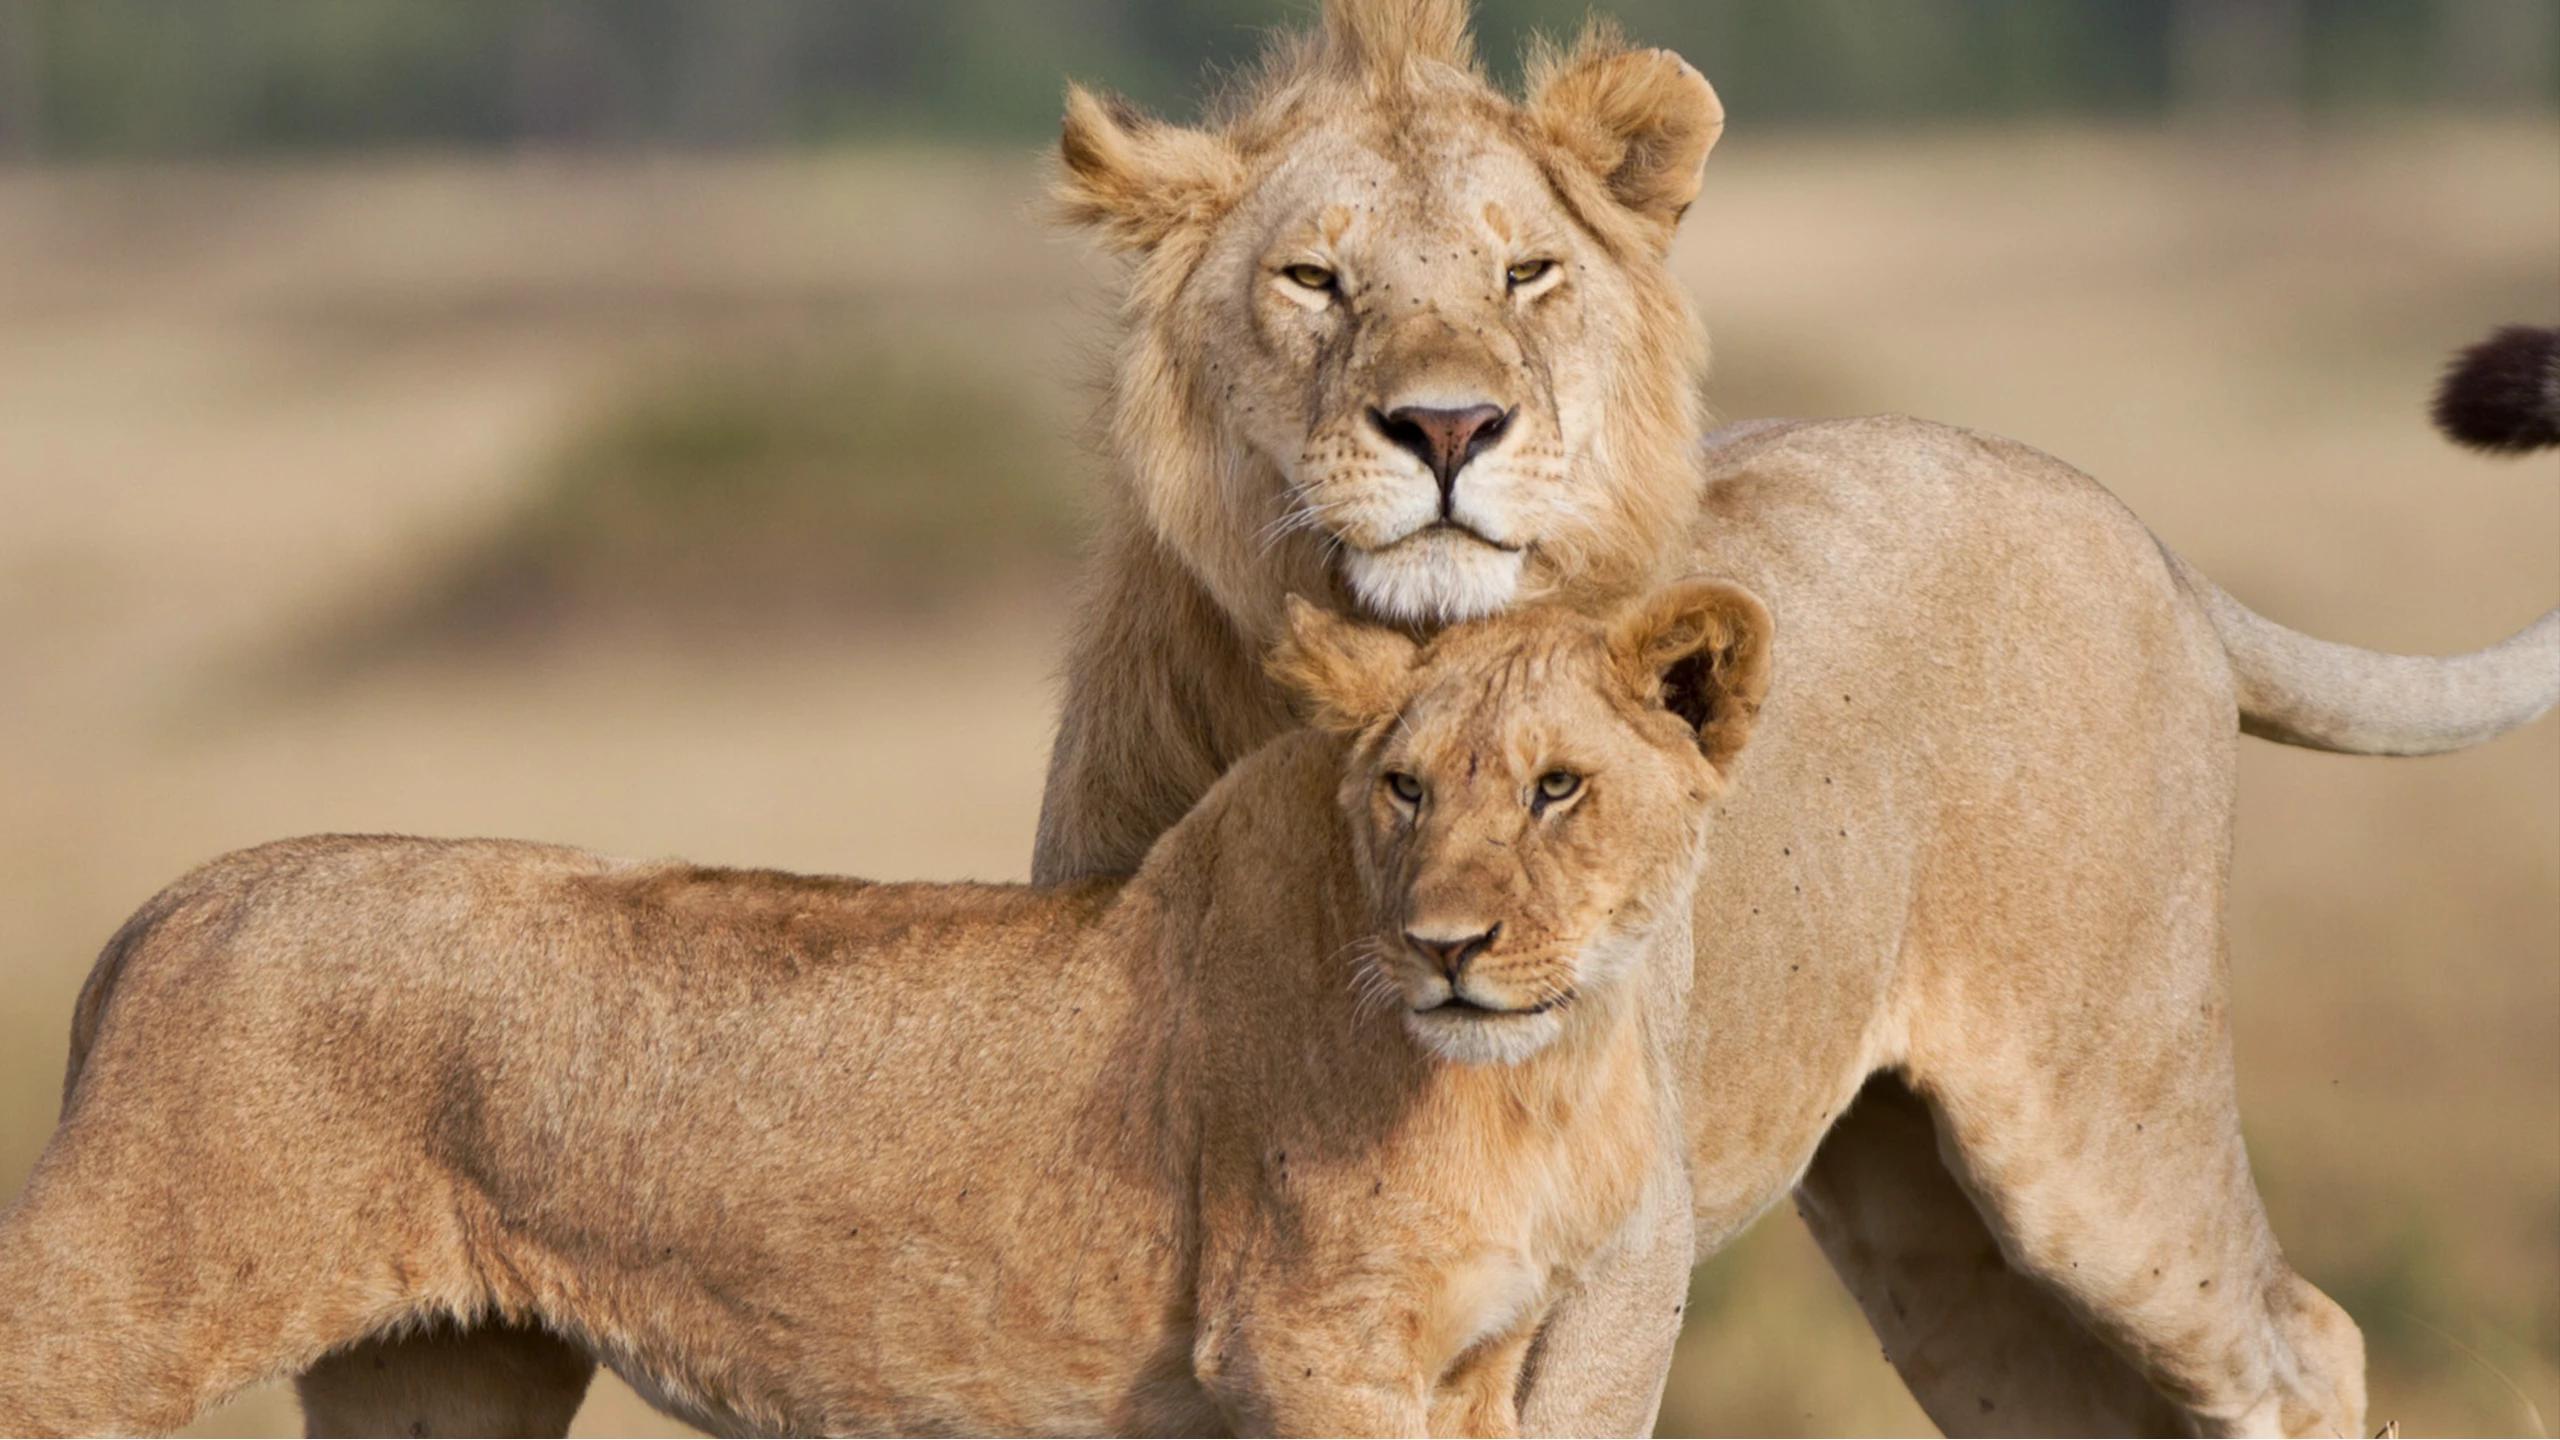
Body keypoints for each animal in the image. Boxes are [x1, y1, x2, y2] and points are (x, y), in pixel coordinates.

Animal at [0, 584, 1773, 1438]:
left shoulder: (1470, 1371)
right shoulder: (1303, 1352)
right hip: (118, 1314)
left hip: (447, 1377)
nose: (1443, 947)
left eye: (1556, 789)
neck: (1540, 1074)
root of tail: (173, 903)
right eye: (1404, 789)